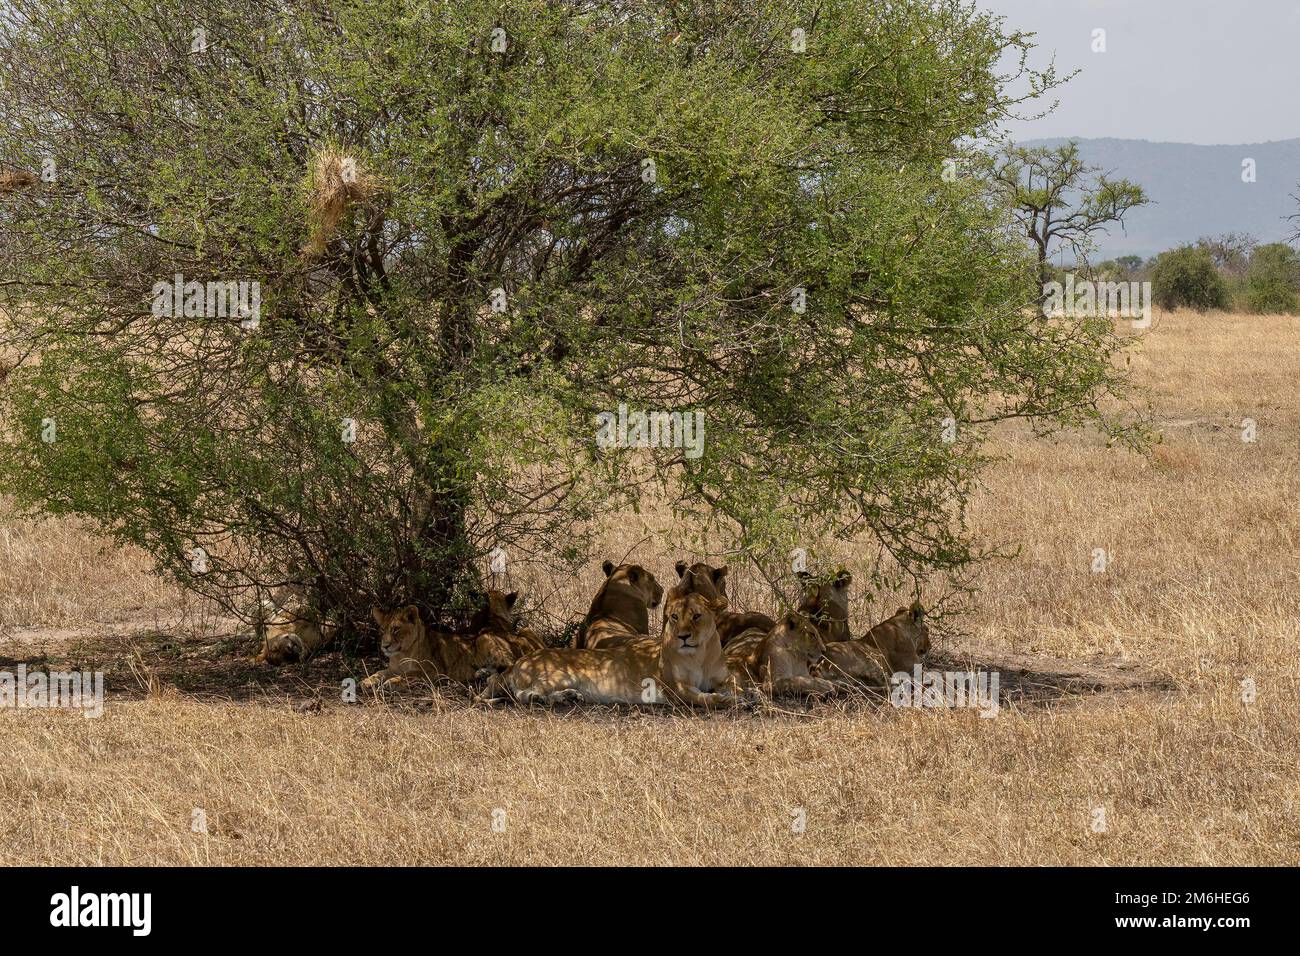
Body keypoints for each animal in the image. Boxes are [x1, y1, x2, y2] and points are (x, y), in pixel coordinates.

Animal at [485, 592, 743, 708]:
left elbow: (737, 685)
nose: (683, 636)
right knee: (522, 694)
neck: (700, 654)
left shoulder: (723, 678)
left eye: (696, 616)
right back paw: (544, 697)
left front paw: (747, 694)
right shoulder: (679, 690)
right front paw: (732, 701)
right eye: (674, 617)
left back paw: (568, 697)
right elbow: (707, 699)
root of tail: (517, 663)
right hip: (559, 674)